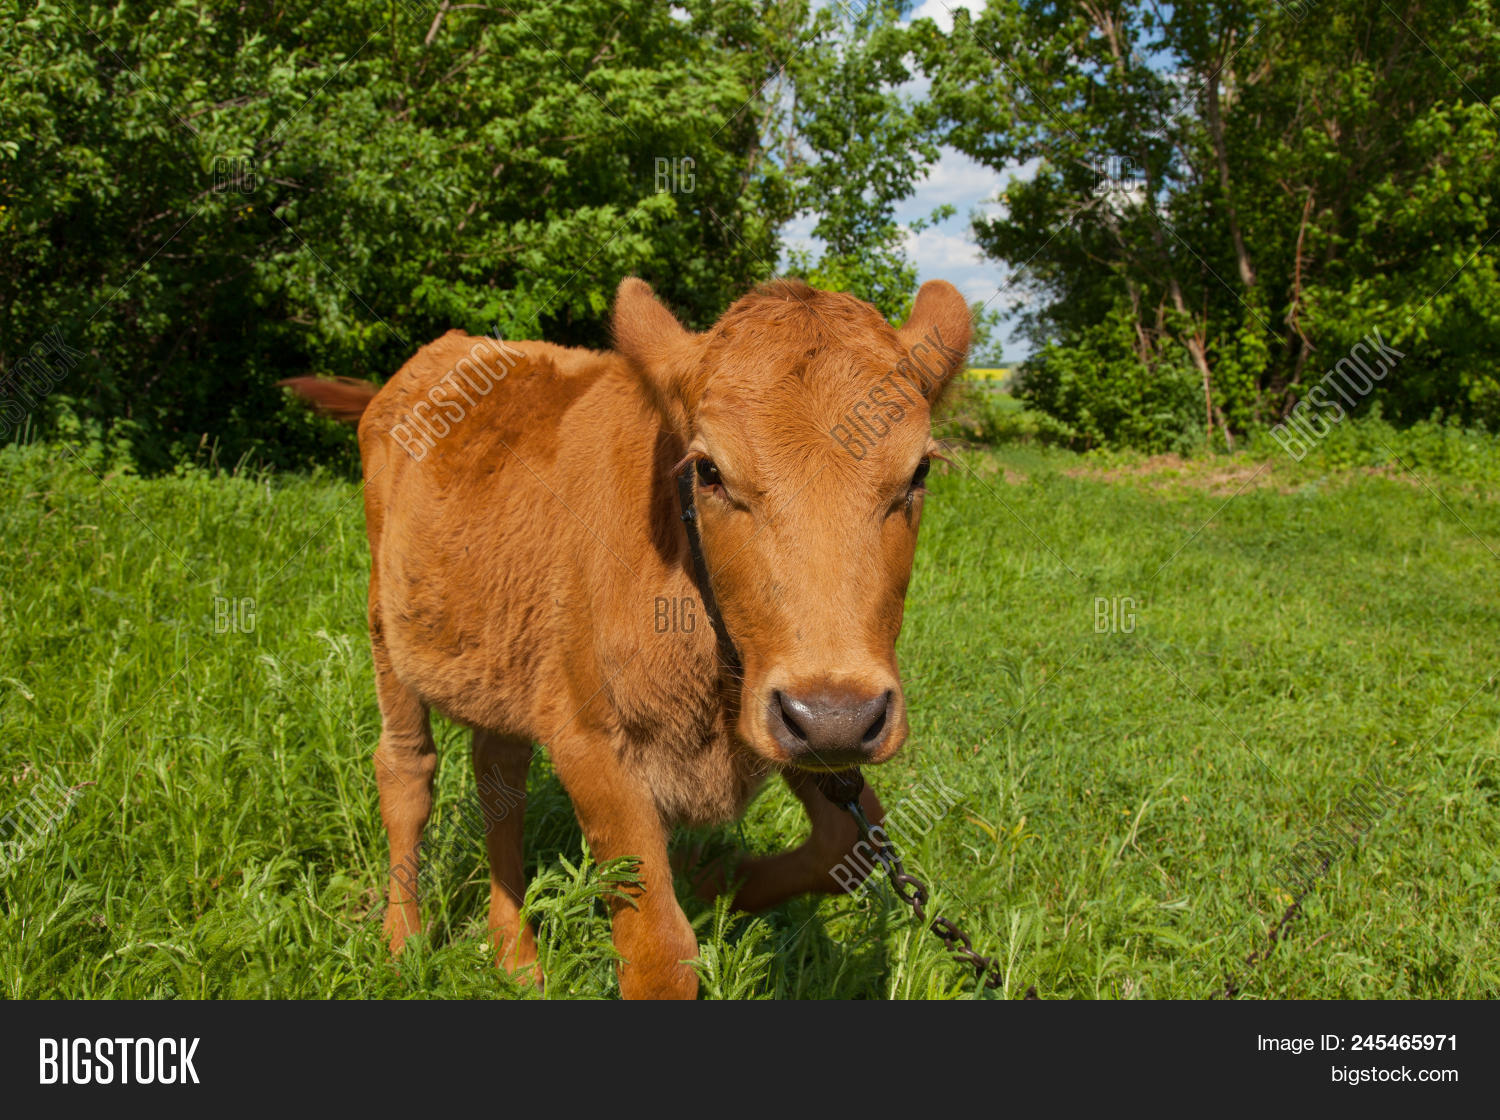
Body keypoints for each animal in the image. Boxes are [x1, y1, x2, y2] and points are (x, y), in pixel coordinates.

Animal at [282, 276, 971, 999]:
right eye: (708, 471)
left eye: (920, 472)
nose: (836, 717)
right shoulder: (593, 740)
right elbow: (659, 949)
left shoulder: (782, 709)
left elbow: (853, 843)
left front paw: (713, 878)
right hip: (385, 624)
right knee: (407, 770)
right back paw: (402, 940)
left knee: (499, 778)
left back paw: (514, 955)